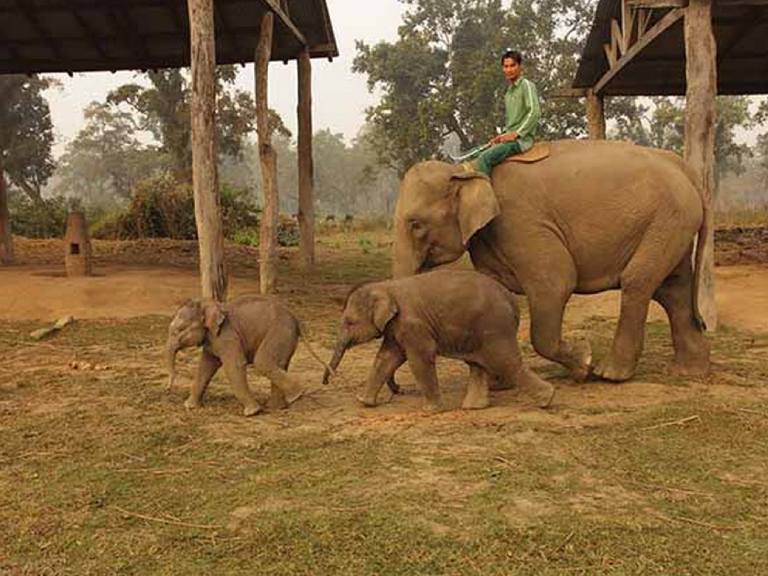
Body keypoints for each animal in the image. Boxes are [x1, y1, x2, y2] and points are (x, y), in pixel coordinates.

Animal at [166, 295, 329, 416]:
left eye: (180, 330)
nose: (168, 389)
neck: (209, 304)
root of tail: (295, 317)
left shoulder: (228, 336)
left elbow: (234, 365)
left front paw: (252, 413)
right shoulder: (212, 339)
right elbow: (206, 367)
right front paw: (189, 406)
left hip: (279, 331)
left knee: (262, 362)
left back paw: (297, 395)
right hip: (285, 335)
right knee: (279, 363)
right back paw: (278, 407)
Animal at [323, 269, 555, 411]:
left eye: (349, 322)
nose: (326, 381)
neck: (386, 286)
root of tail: (512, 300)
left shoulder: (412, 324)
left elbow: (420, 358)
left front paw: (431, 410)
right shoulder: (396, 327)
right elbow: (387, 357)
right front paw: (364, 402)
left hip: (494, 327)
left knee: (504, 362)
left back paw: (548, 399)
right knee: (478, 364)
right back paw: (472, 407)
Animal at [391, 139, 711, 382]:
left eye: (416, 224)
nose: (396, 389)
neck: (466, 171)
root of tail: (684, 168)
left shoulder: (521, 222)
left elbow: (556, 282)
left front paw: (584, 363)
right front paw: (495, 382)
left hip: (668, 218)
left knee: (638, 281)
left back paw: (610, 374)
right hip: (673, 222)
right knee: (674, 290)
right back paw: (688, 372)